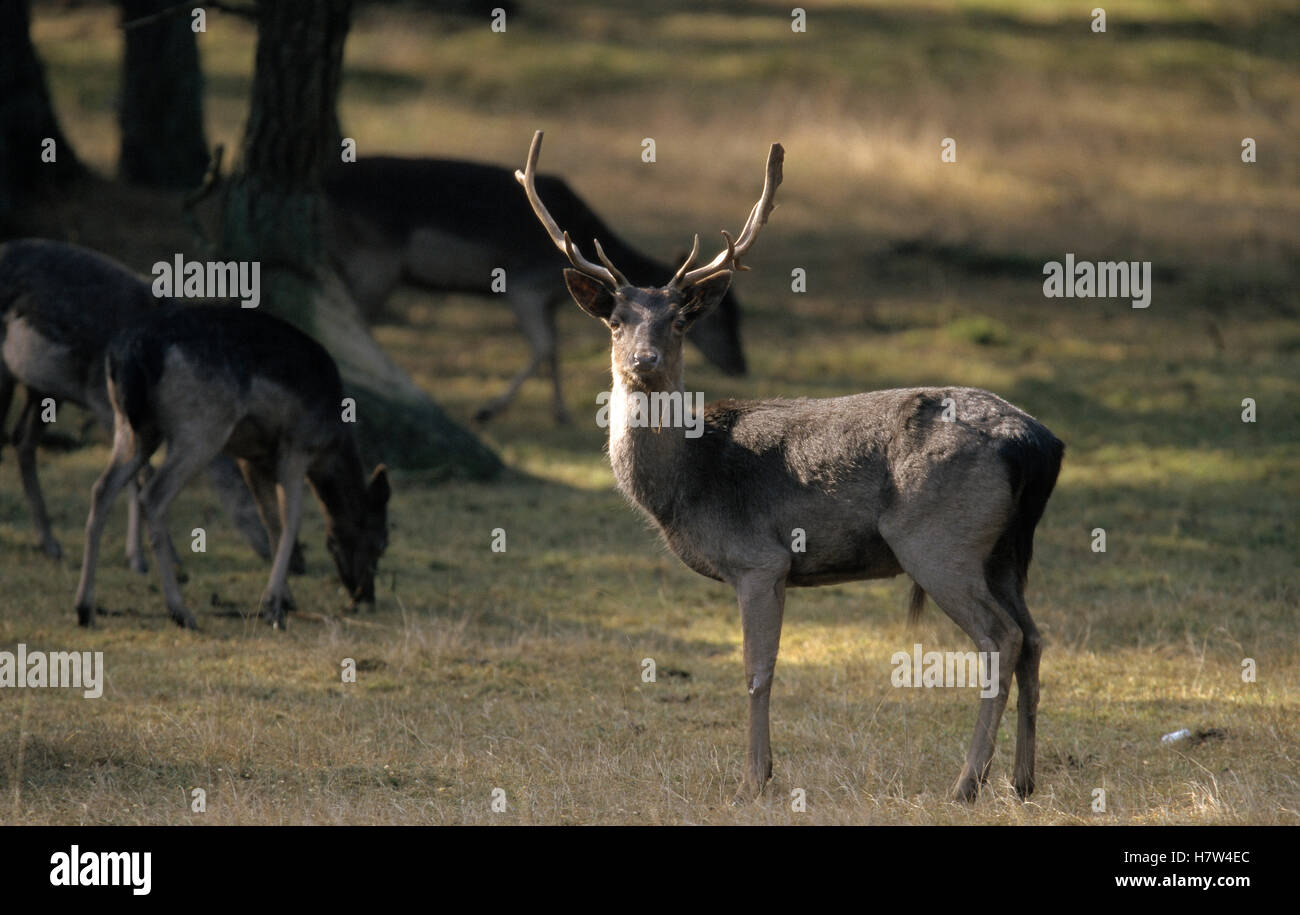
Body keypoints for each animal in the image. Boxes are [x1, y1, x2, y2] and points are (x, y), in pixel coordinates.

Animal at [0, 239, 297, 573]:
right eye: (253, 496)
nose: (299, 562)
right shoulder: (105, 403)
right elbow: (140, 476)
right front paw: (144, 560)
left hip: (44, 390)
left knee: (22, 439)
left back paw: (50, 544)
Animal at [73, 304, 390, 630]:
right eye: (381, 542)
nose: (366, 596)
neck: (331, 446)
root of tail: (132, 355)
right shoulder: (297, 446)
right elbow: (290, 521)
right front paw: (273, 605)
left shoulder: (252, 459)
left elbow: (271, 521)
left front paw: (285, 598)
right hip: (201, 428)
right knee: (153, 495)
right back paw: (181, 611)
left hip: (132, 427)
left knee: (102, 489)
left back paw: (84, 608)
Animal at [321, 156, 749, 425]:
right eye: (721, 318)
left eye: (684, 319)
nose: (741, 367)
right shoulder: (524, 286)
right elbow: (543, 346)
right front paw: (489, 409)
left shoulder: (550, 298)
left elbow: (554, 348)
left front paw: (559, 413)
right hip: (374, 262)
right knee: (353, 317)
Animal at [517, 131, 1064, 802]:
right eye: (616, 321)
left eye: (679, 320)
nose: (644, 361)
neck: (686, 484)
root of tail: (1036, 442)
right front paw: (764, 770)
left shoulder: (759, 558)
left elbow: (758, 670)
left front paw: (754, 778)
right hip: (1006, 550)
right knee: (1034, 637)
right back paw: (1022, 780)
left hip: (940, 539)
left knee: (1000, 639)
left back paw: (966, 783)